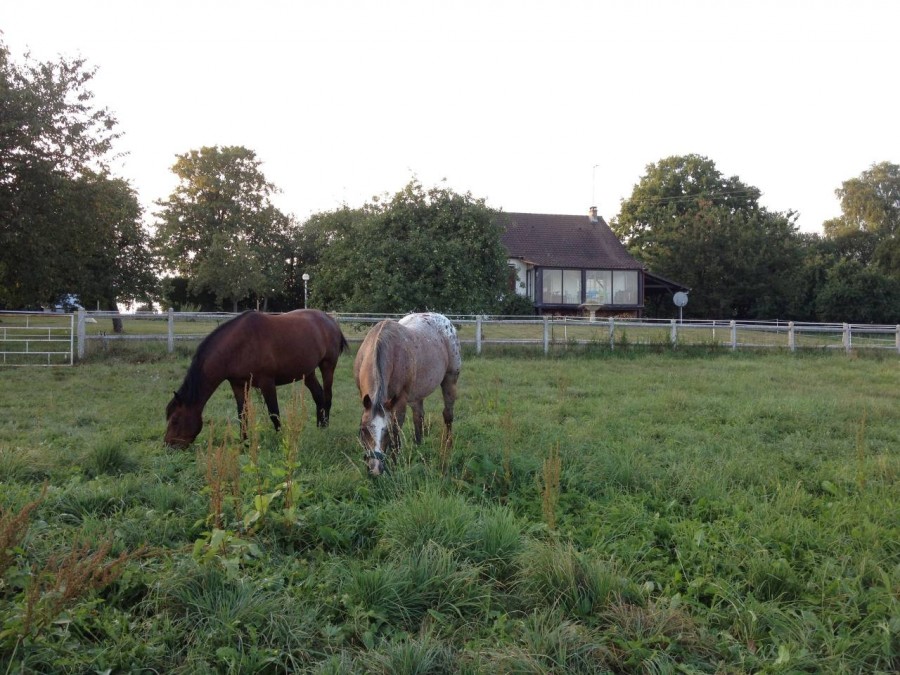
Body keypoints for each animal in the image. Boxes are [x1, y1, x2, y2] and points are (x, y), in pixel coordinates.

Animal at [164, 309, 349, 449]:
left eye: (175, 420)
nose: (168, 446)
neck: (239, 346)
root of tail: (330, 320)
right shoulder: (238, 385)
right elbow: (242, 414)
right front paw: (244, 443)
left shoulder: (267, 383)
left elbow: (274, 413)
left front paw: (281, 441)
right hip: (308, 372)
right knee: (319, 397)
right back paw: (319, 427)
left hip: (327, 366)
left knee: (327, 397)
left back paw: (325, 428)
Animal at [354, 312, 461, 476]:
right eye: (363, 430)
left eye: (387, 431)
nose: (375, 469)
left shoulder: (399, 401)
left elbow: (397, 433)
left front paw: (394, 464)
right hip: (417, 394)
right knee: (419, 417)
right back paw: (419, 446)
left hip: (450, 380)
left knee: (448, 415)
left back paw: (448, 446)